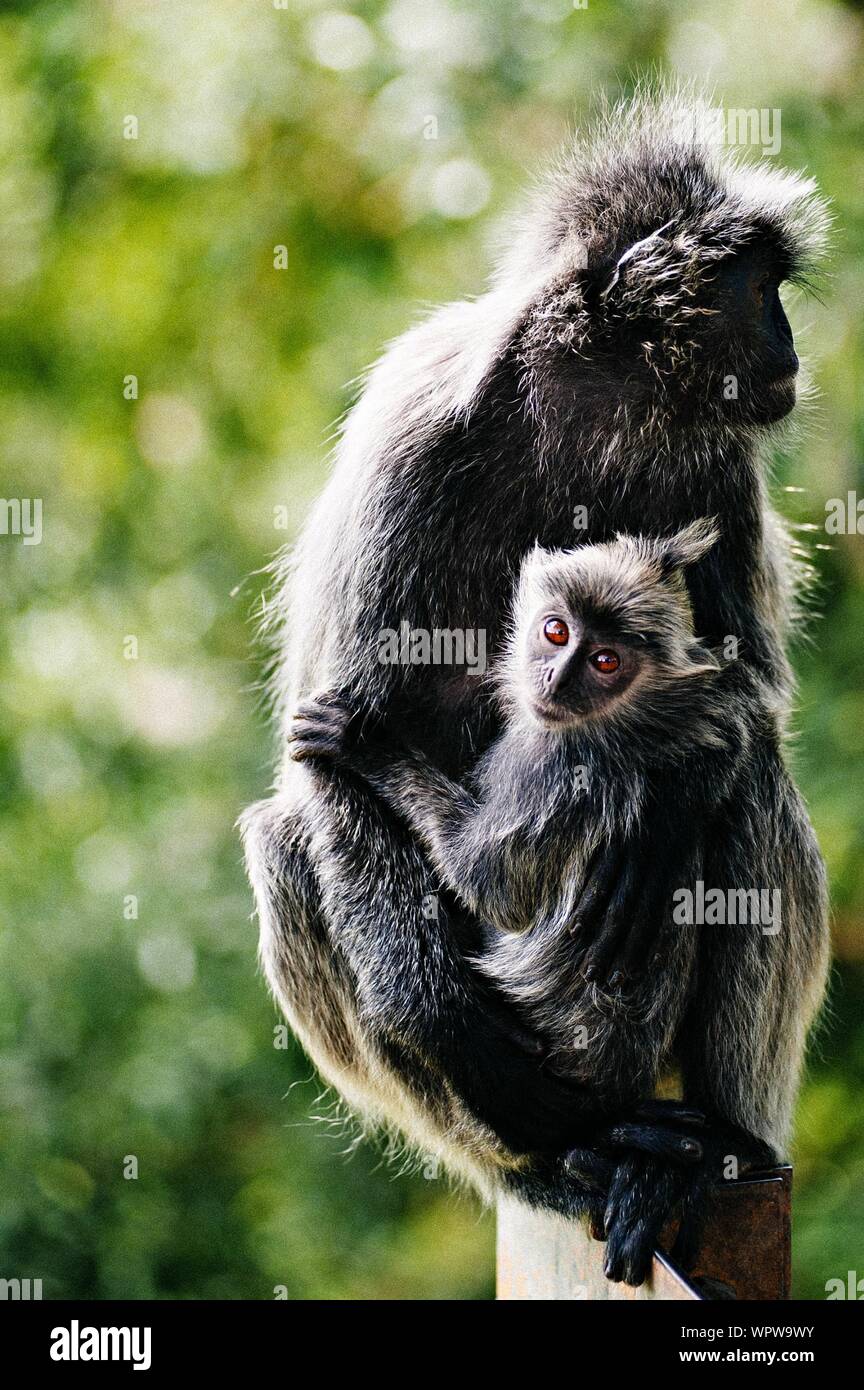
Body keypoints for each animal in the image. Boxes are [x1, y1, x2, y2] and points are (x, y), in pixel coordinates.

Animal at [242, 87, 830, 1285]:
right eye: (759, 291)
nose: (791, 342)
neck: (588, 411)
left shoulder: (716, 469)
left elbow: (748, 695)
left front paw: (659, 816)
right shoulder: (412, 435)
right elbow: (323, 749)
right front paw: (462, 1043)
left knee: (752, 785)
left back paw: (715, 1151)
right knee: (285, 841)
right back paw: (557, 1161)